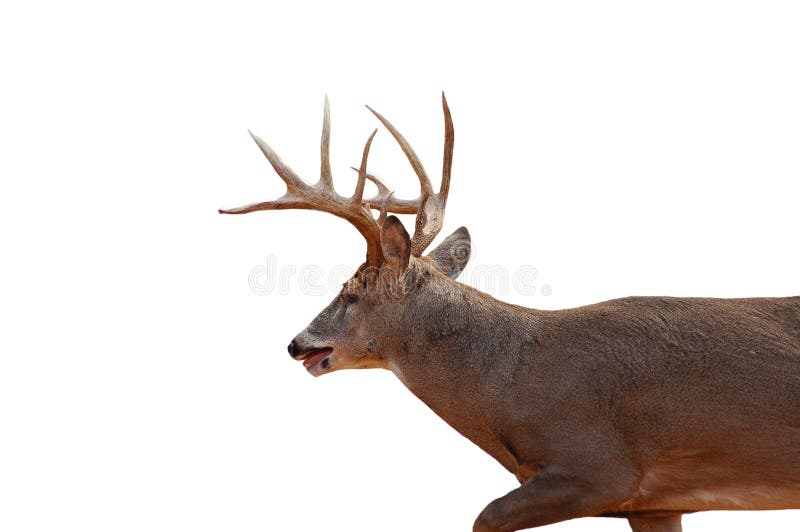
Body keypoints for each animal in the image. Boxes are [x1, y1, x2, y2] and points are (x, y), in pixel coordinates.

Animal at [219, 94, 800, 532]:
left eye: (351, 289)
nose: (297, 343)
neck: (510, 383)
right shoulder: (656, 504)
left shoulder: (600, 466)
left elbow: (484, 517)